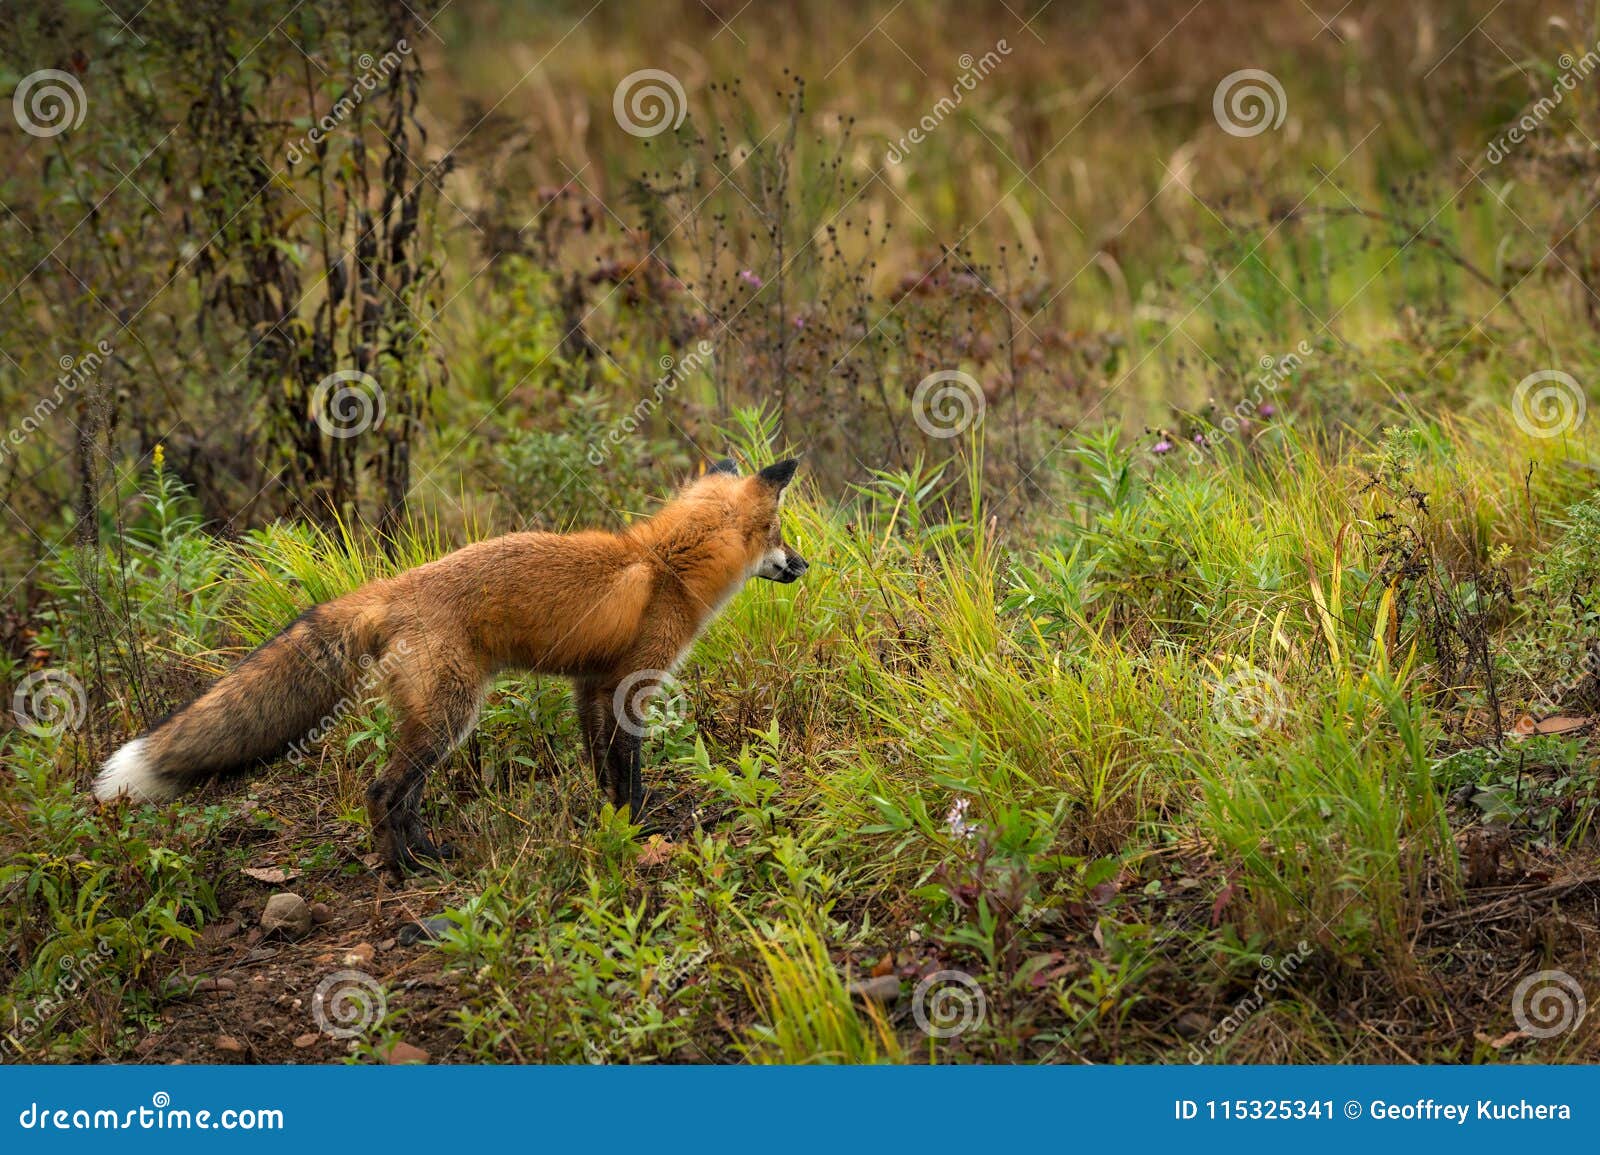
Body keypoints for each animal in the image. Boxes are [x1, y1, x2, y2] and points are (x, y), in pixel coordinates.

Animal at [92, 458, 807, 877]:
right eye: (779, 534)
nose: (803, 565)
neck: (665, 564)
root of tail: (391, 587)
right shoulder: (630, 686)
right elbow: (627, 772)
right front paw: (639, 831)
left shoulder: (591, 687)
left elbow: (602, 769)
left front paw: (611, 825)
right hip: (451, 714)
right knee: (382, 790)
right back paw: (405, 870)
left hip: (440, 718)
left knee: (404, 796)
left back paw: (427, 853)